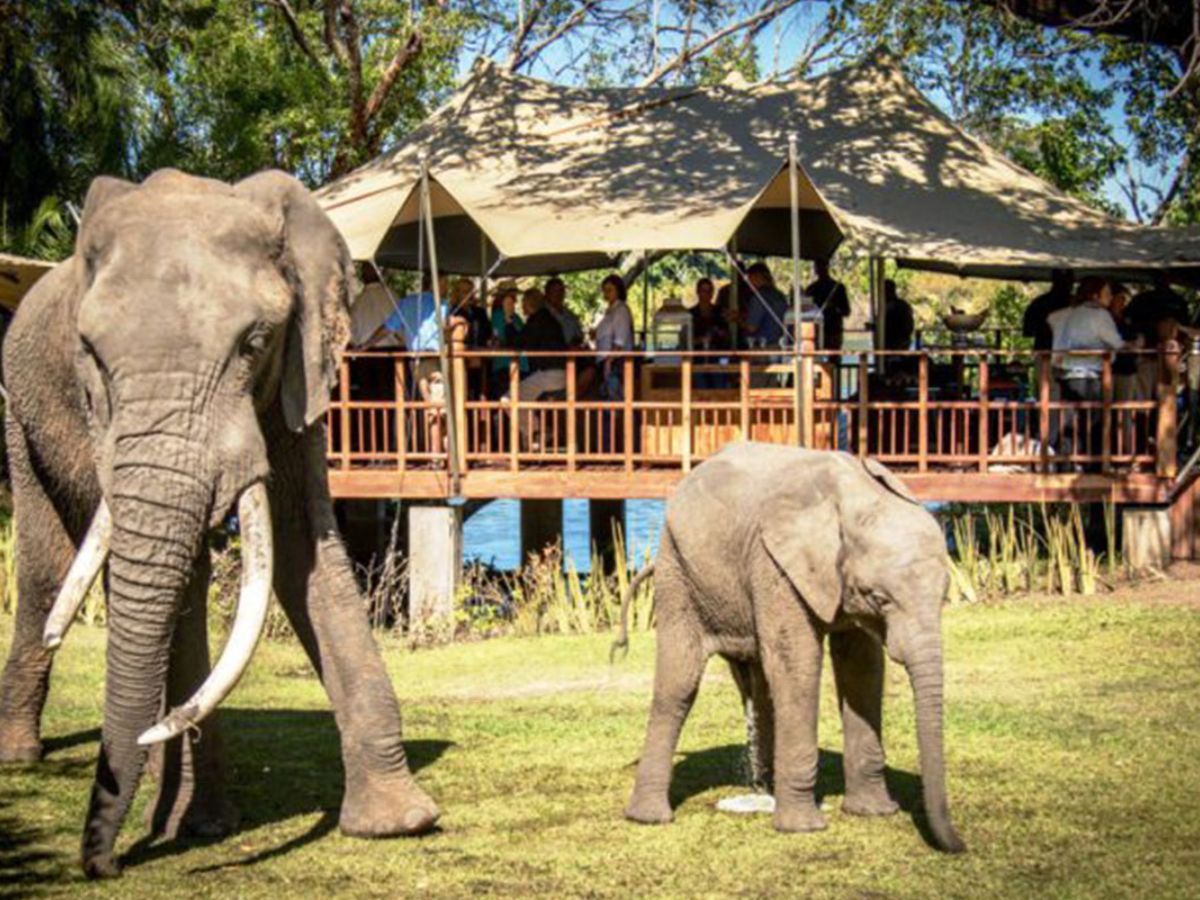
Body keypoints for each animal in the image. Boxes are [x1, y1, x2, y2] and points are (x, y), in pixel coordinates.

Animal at [0, 169, 439, 878]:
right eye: (89, 352)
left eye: (253, 344)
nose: (103, 866)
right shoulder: (100, 421)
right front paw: (188, 821)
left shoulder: (296, 375)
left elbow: (303, 546)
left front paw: (397, 822)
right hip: (20, 413)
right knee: (48, 578)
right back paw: (25, 756)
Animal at [613, 442, 965, 852]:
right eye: (880, 598)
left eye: (944, 592)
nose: (959, 846)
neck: (852, 496)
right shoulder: (775, 564)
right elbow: (798, 663)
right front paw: (803, 828)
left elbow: (862, 669)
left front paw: (873, 812)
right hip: (677, 569)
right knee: (679, 684)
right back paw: (650, 817)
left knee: (759, 687)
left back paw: (763, 792)